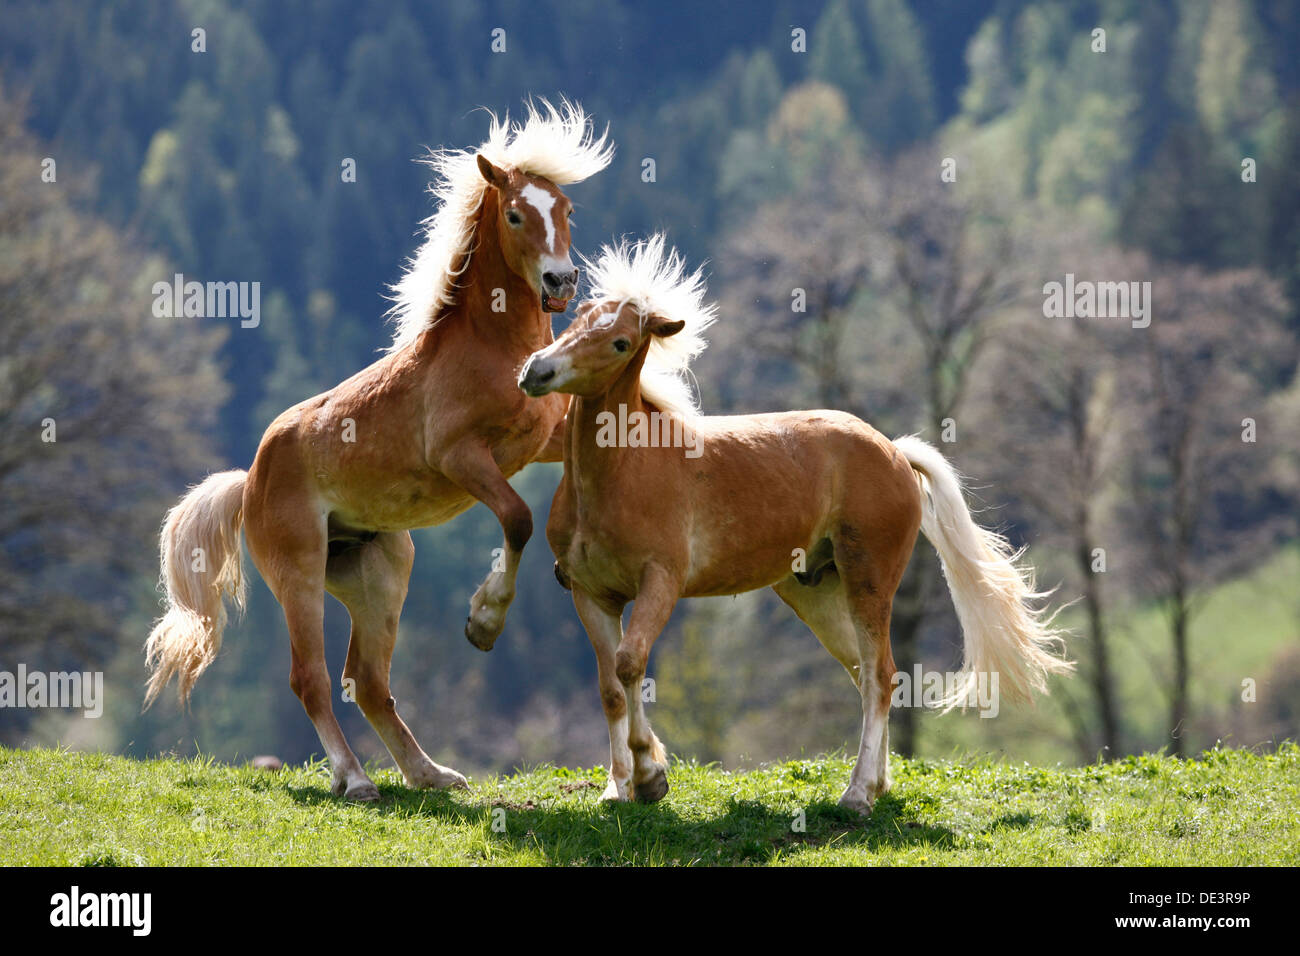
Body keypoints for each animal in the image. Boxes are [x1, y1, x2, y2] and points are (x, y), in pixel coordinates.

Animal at [144, 100, 613, 801]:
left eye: (567, 209)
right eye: (514, 214)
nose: (561, 280)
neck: (493, 346)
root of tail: (248, 479)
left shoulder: (539, 444)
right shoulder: (461, 457)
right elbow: (518, 519)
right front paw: (484, 621)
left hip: (382, 573)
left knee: (368, 683)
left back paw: (430, 773)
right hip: (300, 575)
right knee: (311, 678)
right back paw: (356, 778)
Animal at [518, 235, 1074, 813]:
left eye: (622, 342)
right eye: (579, 316)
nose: (537, 372)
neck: (622, 471)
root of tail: (894, 451)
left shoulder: (661, 583)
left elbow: (630, 664)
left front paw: (651, 775)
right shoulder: (592, 595)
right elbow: (610, 687)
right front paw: (618, 788)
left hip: (869, 580)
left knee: (881, 675)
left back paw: (857, 795)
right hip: (817, 593)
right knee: (867, 674)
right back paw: (878, 783)